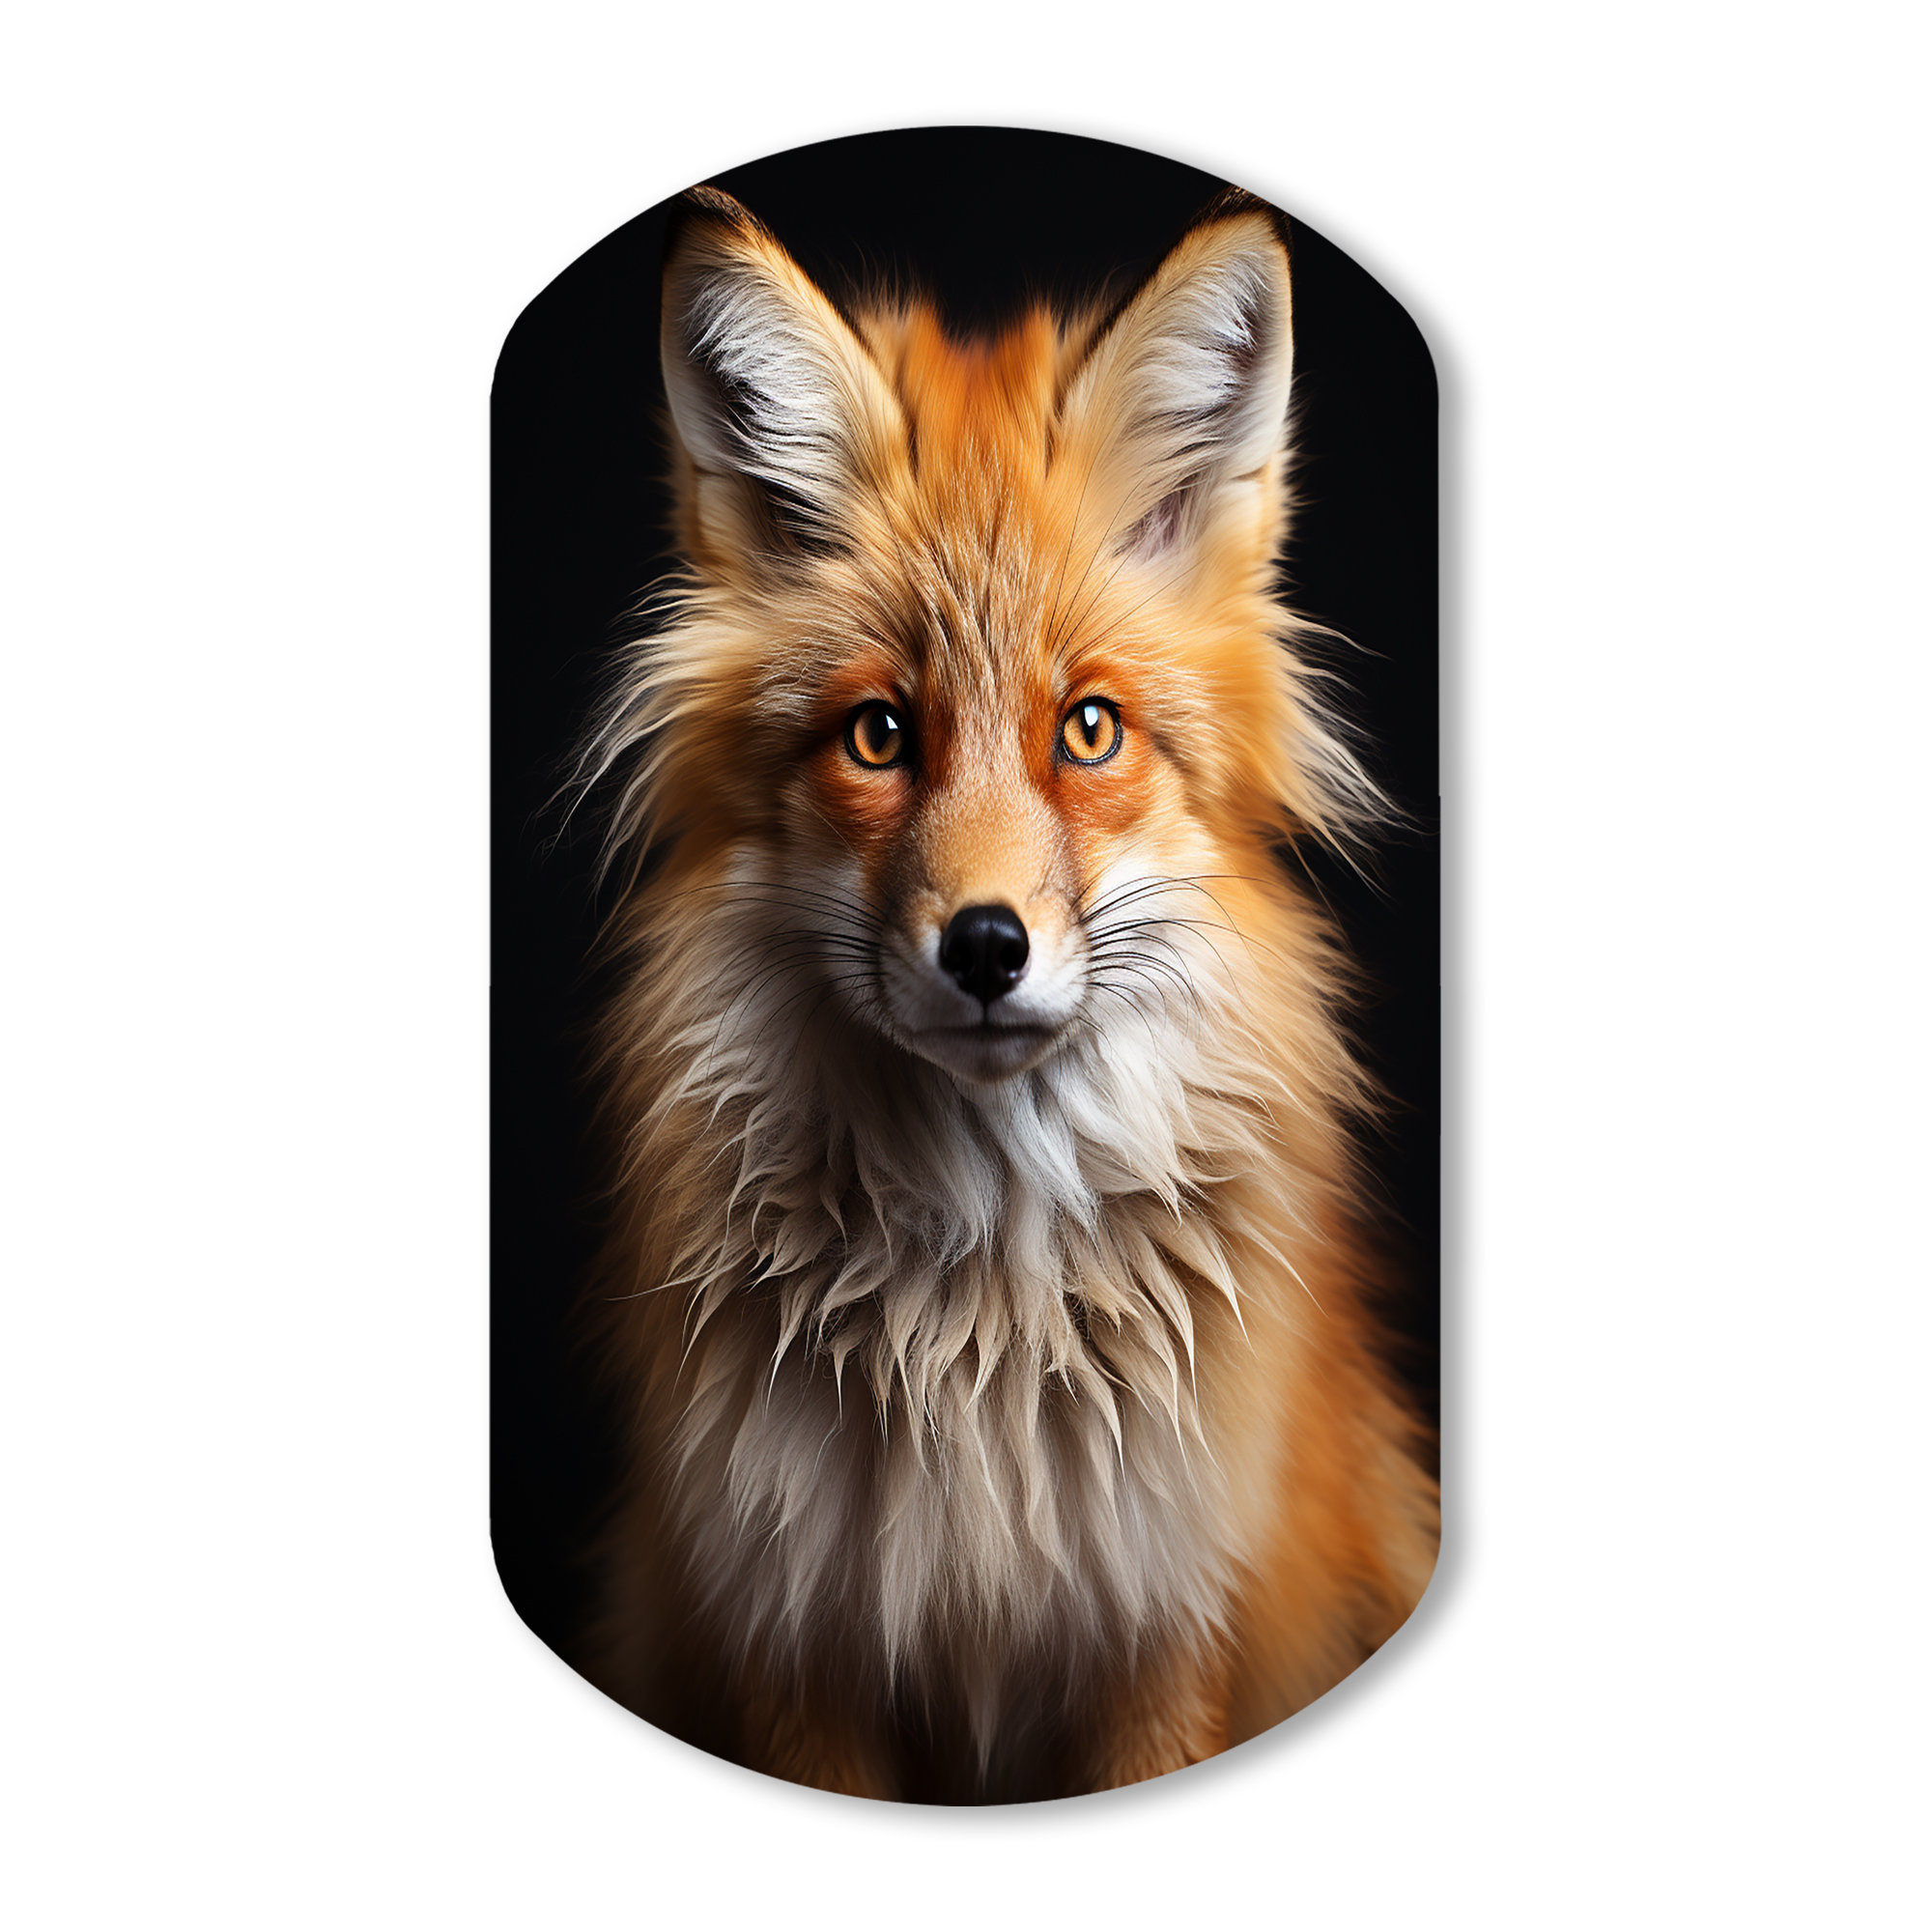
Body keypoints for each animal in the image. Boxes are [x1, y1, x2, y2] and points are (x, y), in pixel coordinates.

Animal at [569, 182, 1438, 1802]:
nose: (985, 948)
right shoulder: (797, 1644)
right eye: (878, 734)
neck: (980, 1333)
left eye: (1087, 729)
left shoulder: (1168, 1632)